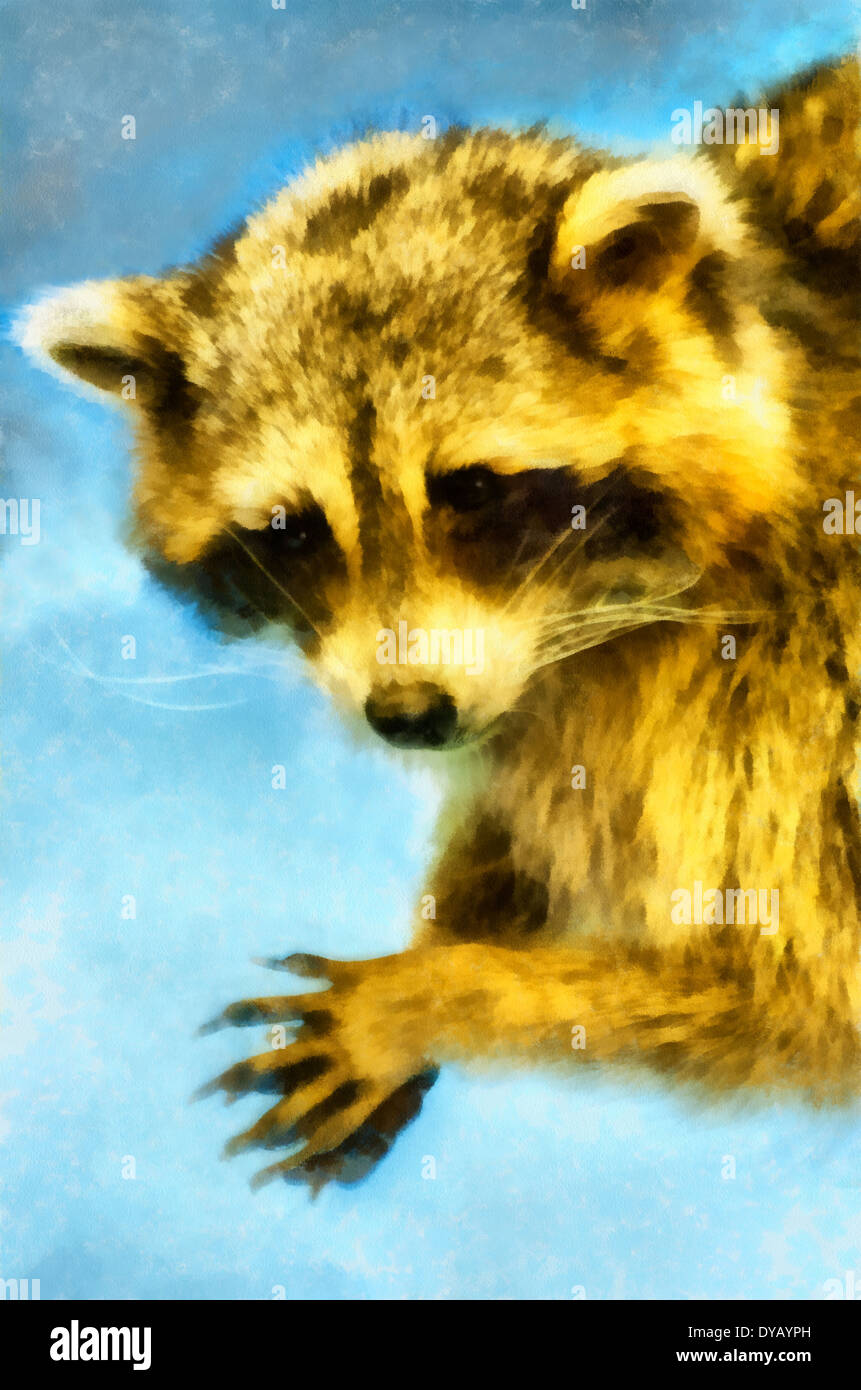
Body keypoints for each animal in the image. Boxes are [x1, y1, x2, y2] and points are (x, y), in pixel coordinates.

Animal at [18, 56, 861, 1191]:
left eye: (472, 489)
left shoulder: (805, 676)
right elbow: (529, 799)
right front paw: (453, 927)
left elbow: (798, 994)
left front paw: (441, 995)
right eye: (290, 529)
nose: (409, 714)